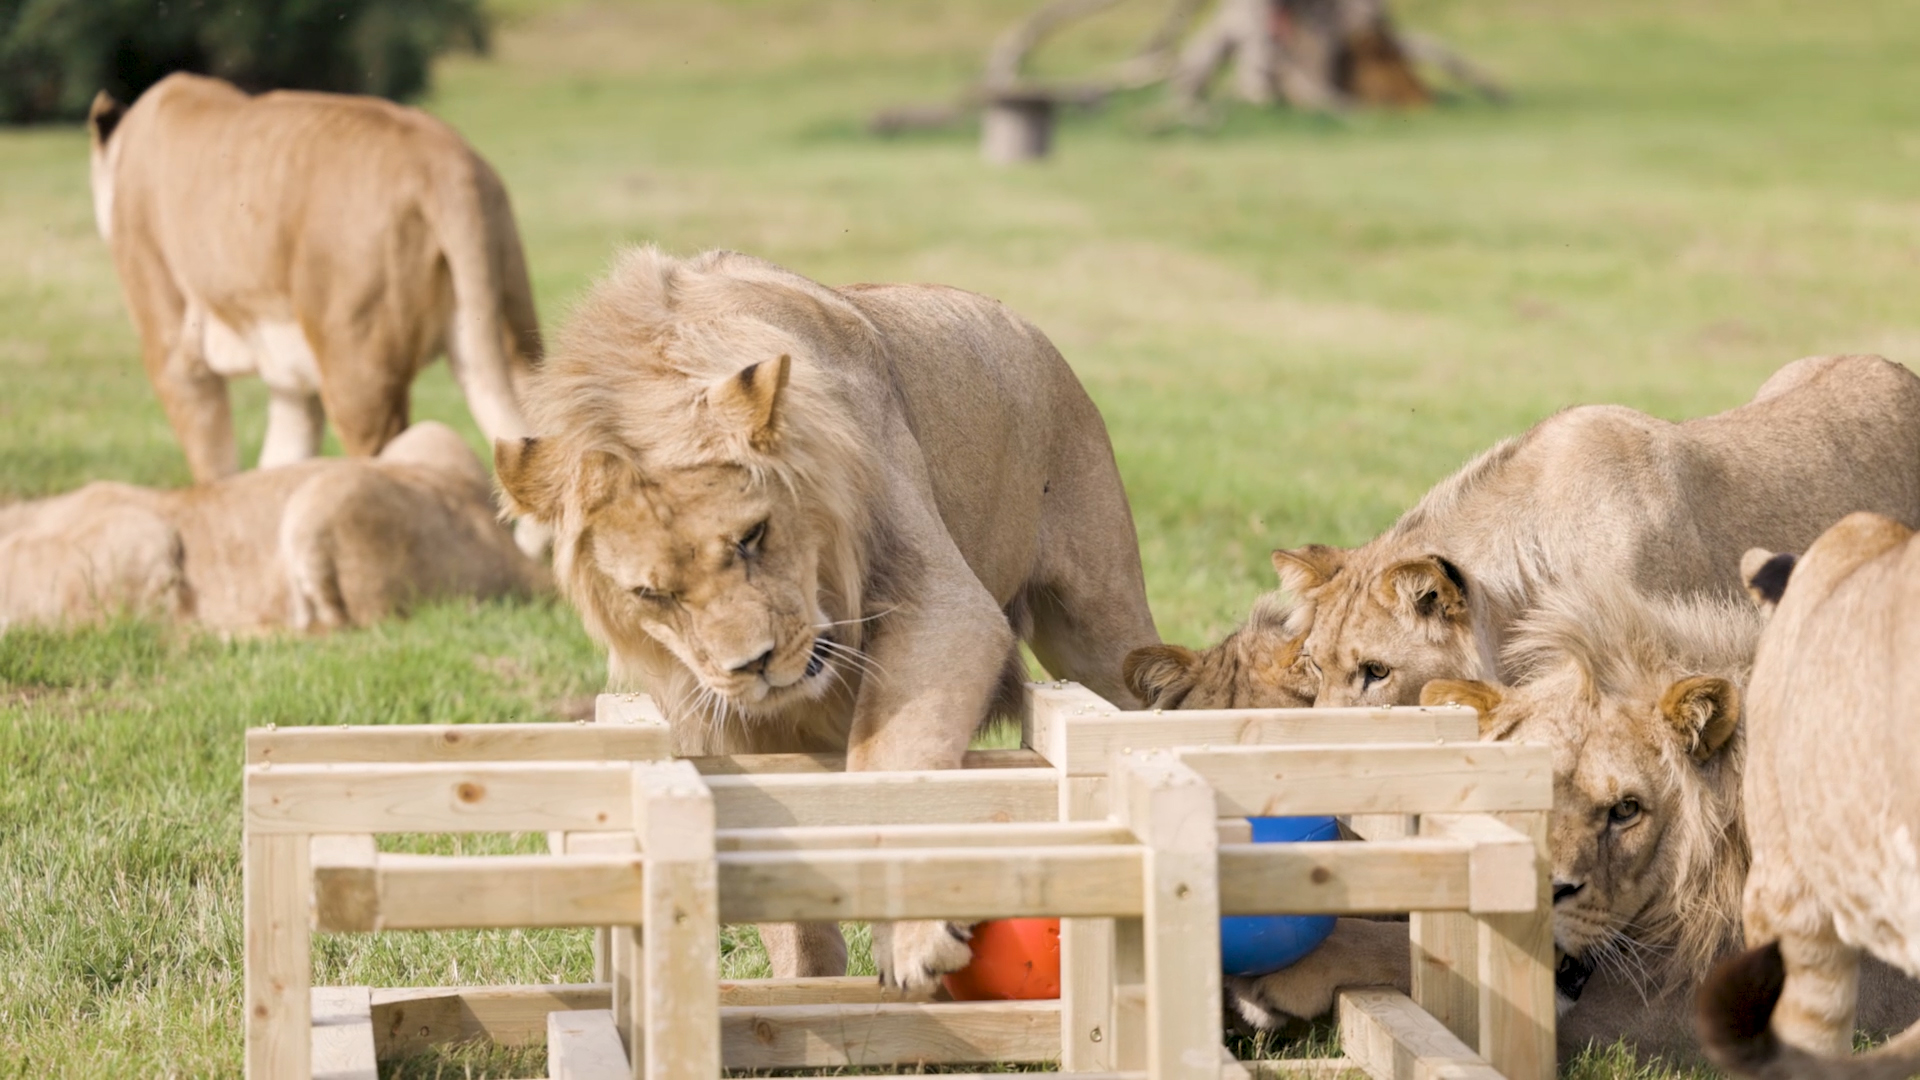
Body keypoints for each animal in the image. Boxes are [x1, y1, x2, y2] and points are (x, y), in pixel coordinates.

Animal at [88, 74, 545, 551]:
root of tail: (444, 164)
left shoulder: (174, 352)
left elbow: (213, 467)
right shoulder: (292, 384)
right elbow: (279, 461)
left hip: (357, 374)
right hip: (506, 332)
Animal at [491, 248, 1162, 989]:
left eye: (752, 536)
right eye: (650, 593)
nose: (751, 664)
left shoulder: (944, 606)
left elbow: (889, 763)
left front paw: (914, 940)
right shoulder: (719, 716)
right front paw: (807, 987)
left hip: (1100, 624)